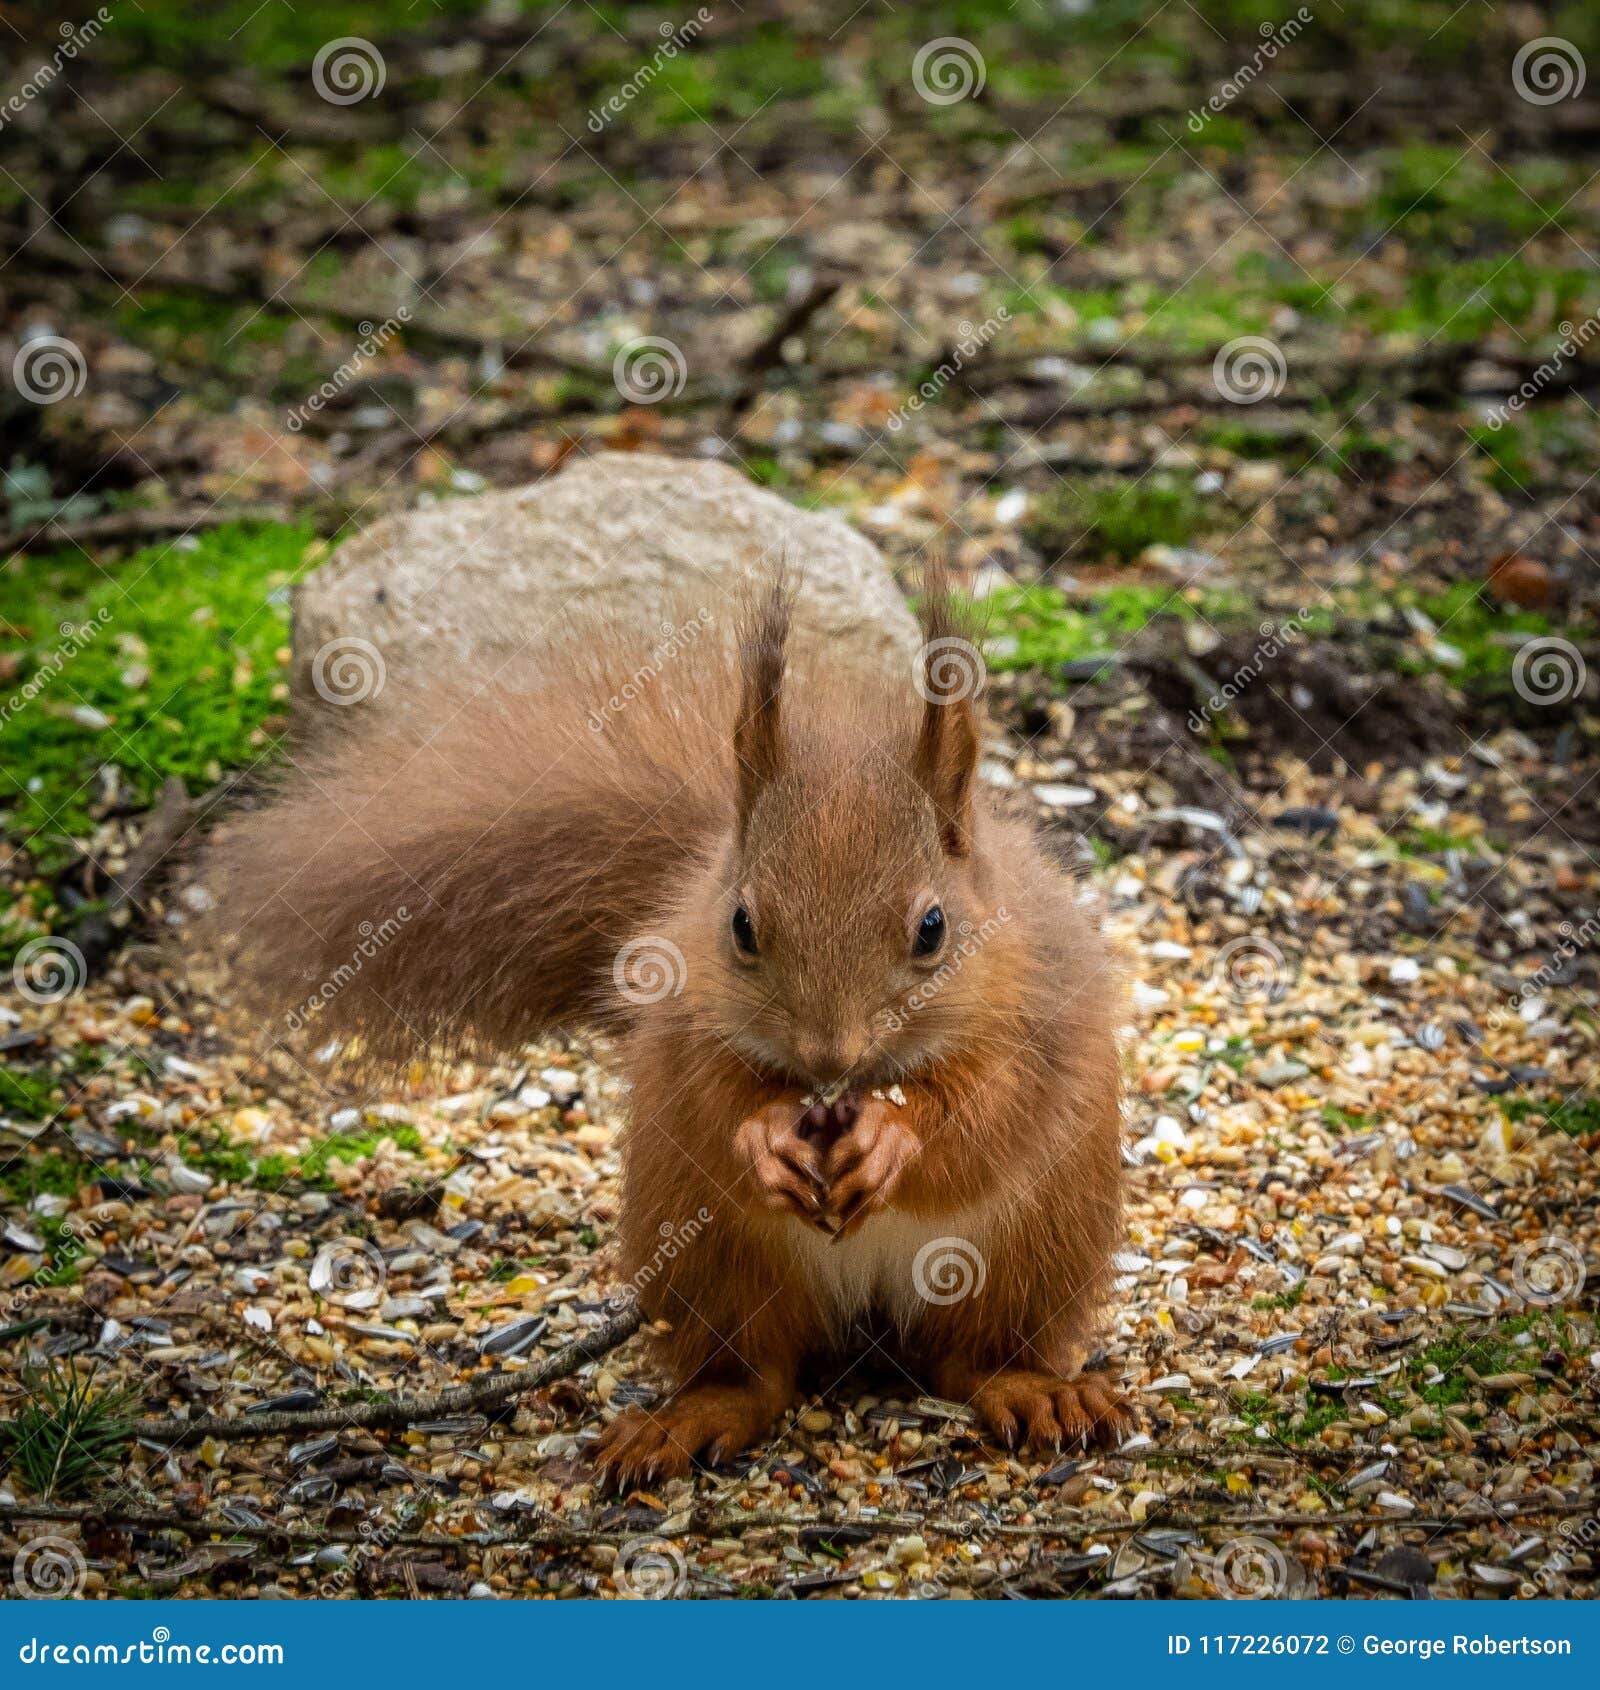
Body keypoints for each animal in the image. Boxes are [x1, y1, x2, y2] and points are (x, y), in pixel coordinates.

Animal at [199, 569, 1130, 1483]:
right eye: (742, 925)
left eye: (934, 929)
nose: (827, 1054)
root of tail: (868, 1329)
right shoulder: (684, 1023)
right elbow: (711, 1101)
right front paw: (763, 1138)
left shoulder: (1037, 1019)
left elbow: (988, 1110)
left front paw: (891, 1136)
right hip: (714, 1258)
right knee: (756, 1375)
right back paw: (685, 1420)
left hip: (1028, 1253)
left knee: (973, 1360)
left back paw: (1038, 1391)